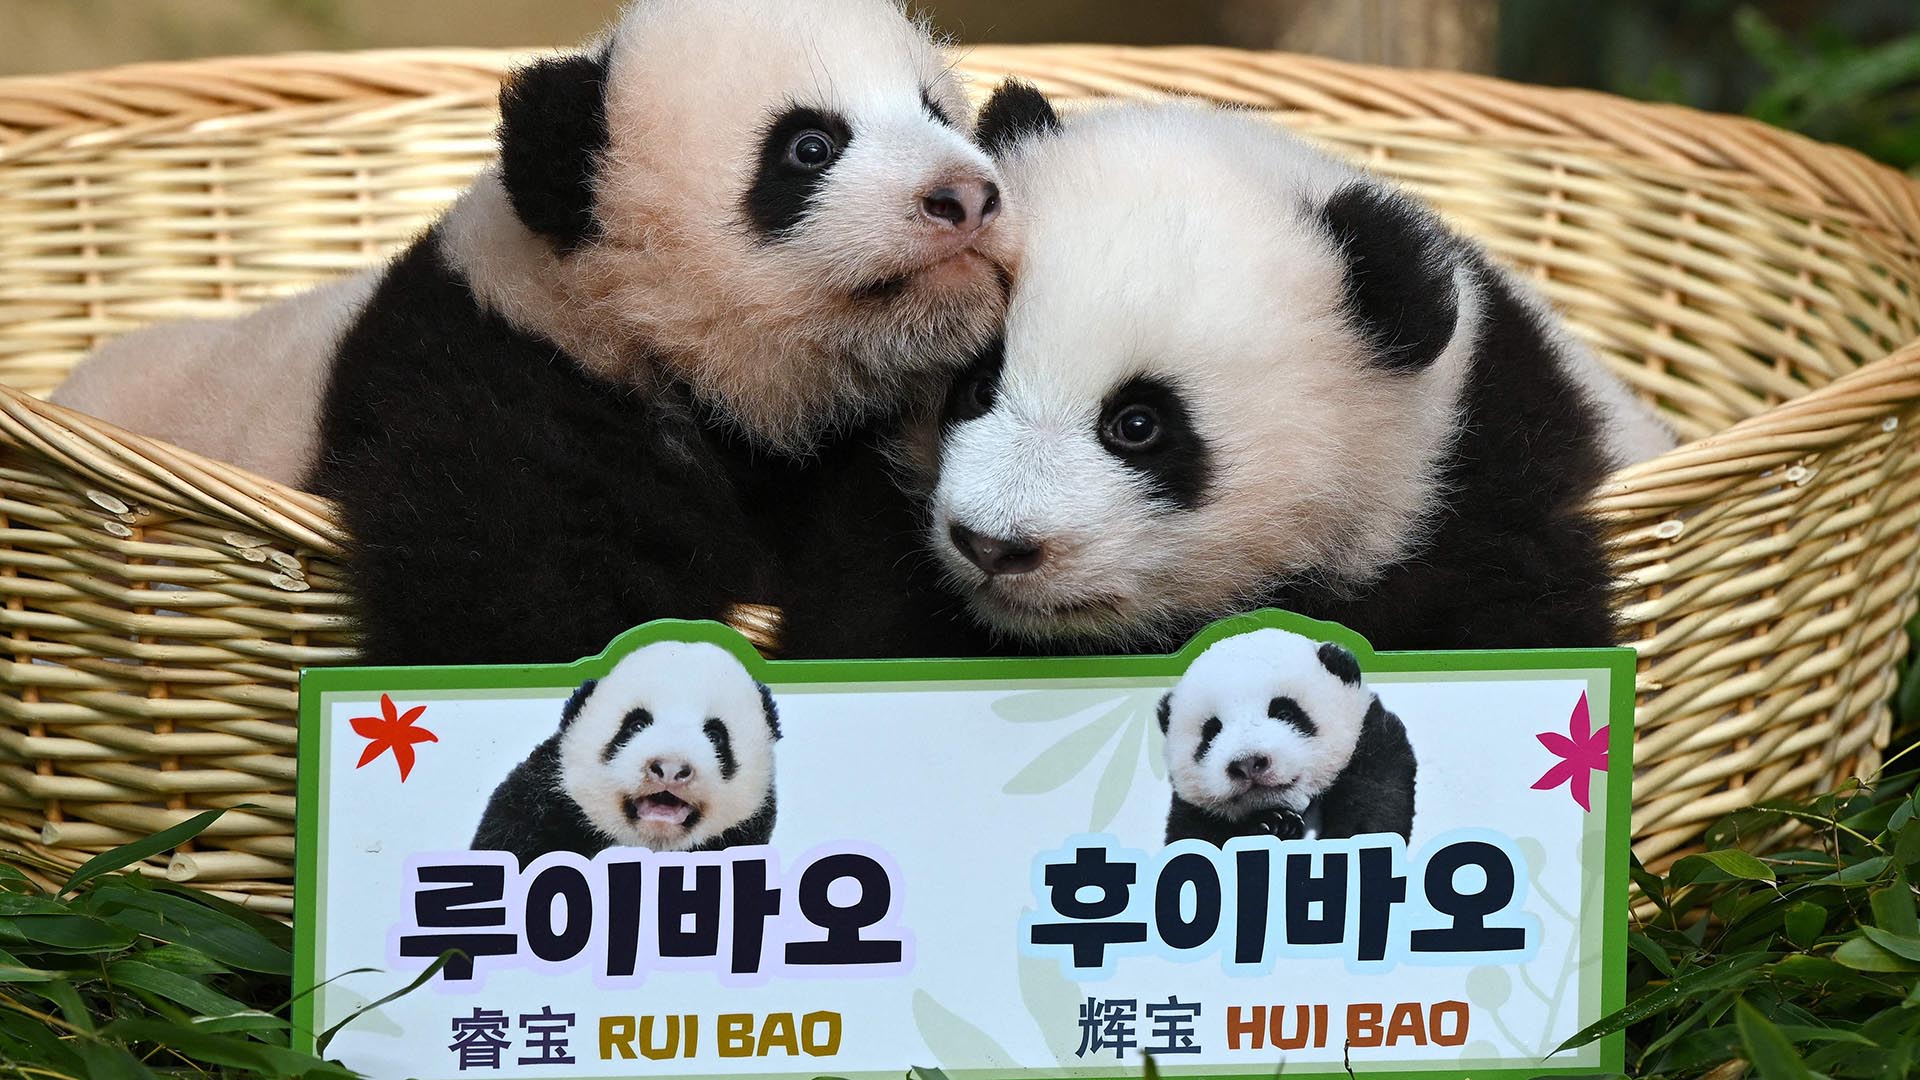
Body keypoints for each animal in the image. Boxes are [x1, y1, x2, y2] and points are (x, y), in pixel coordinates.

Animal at [1158, 628, 1415, 846]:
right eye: (1211, 732)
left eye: (1284, 712)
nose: (1248, 762)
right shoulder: (1191, 811)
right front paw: (1272, 826)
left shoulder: (1374, 745)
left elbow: (1373, 810)